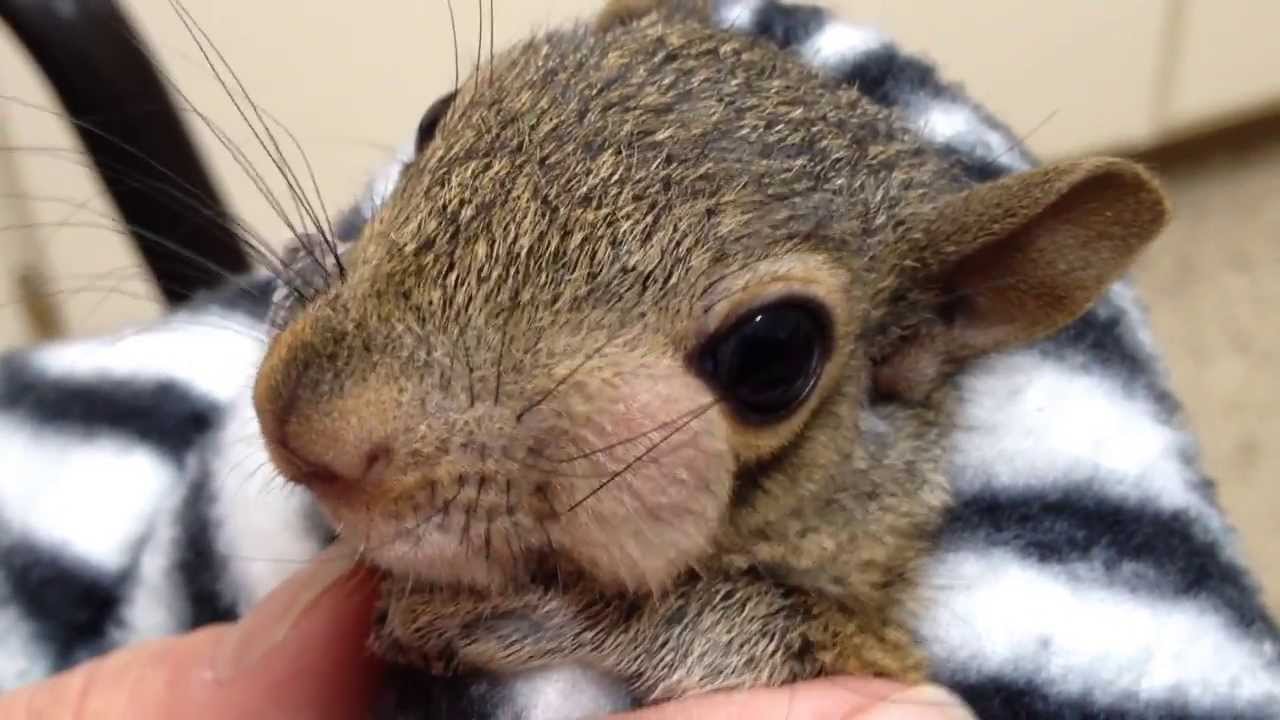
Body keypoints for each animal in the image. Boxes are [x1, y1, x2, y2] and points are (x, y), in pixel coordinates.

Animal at [251, 0, 1170, 710]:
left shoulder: (873, 643)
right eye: (436, 117)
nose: (305, 423)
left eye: (772, 356)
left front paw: (535, 615)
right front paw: (298, 273)